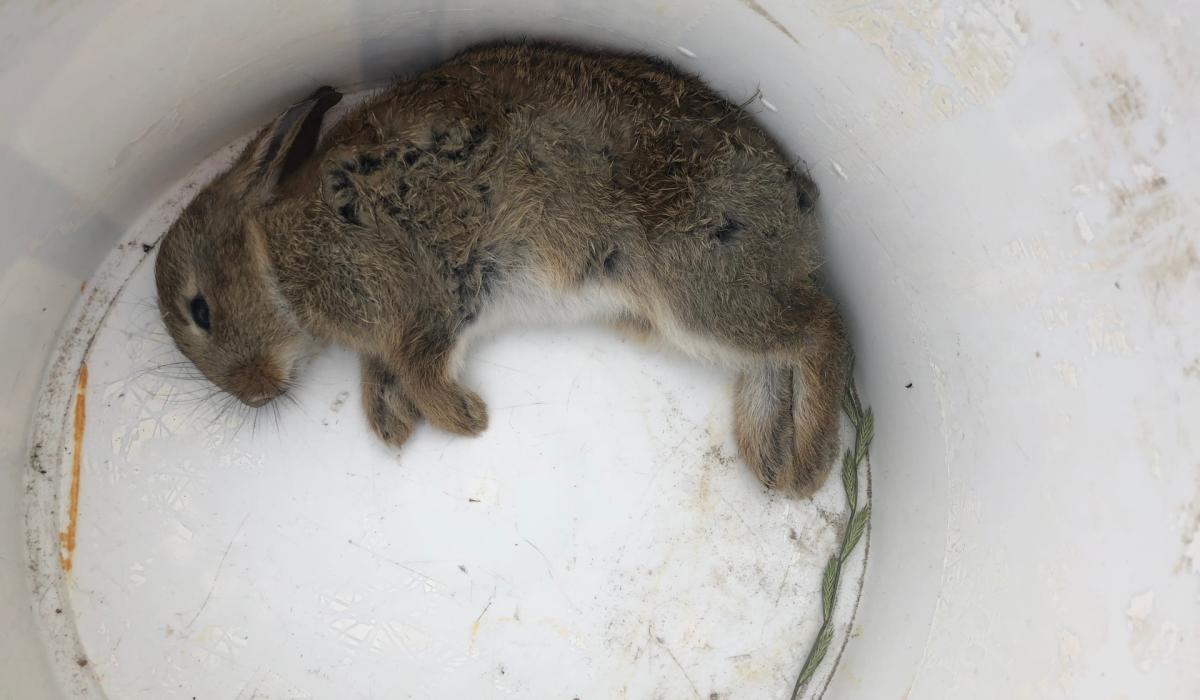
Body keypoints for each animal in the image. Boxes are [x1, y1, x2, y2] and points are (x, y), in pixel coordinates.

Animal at [155, 41, 849, 497]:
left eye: (200, 310)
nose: (255, 395)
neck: (275, 251)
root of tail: (795, 202)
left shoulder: (427, 299)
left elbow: (420, 368)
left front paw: (465, 419)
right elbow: (381, 370)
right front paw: (393, 425)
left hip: (698, 286)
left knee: (822, 327)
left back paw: (808, 468)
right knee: (775, 355)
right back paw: (769, 458)